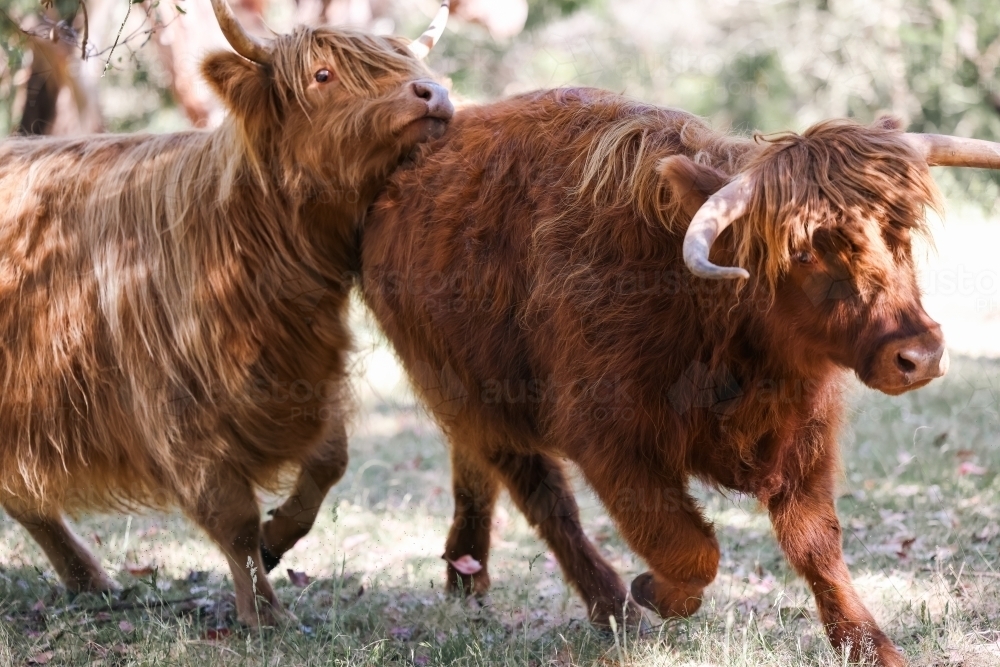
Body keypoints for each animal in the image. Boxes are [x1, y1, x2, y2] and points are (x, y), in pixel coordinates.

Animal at [0, 0, 453, 626]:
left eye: (411, 63)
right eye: (322, 75)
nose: (434, 93)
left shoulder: (308, 376)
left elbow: (329, 462)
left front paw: (277, 538)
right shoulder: (176, 404)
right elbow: (230, 514)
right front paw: (264, 614)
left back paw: (89, 581)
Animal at [358, 88, 1000, 665]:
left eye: (901, 232)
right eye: (803, 251)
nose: (920, 354)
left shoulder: (803, 439)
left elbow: (817, 545)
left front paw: (870, 646)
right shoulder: (611, 438)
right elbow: (688, 545)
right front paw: (657, 595)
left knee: (476, 465)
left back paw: (467, 576)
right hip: (472, 390)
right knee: (542, 496)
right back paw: (612, 607)